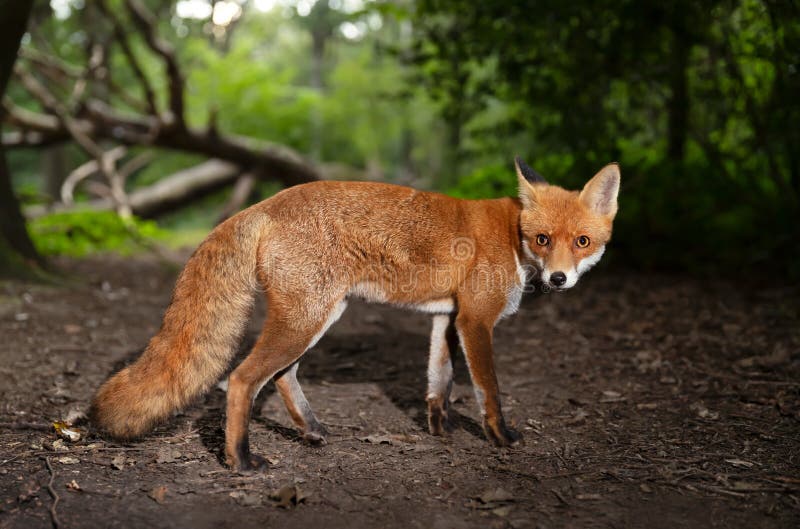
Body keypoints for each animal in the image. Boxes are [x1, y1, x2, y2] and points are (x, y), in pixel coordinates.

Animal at [90, 157, 620, 471]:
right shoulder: (476, 321)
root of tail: (264, 204)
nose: (559, 279)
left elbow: (440, 381)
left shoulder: (447, 319)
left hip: (321, 316)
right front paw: (500, 437)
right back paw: (241, 460)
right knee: (241, 379)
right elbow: (488, 388)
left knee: (282, 376)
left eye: (582, 241)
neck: (512, 233)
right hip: (307, 318)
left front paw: (440, 430)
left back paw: (311, 431)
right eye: (543, 239)